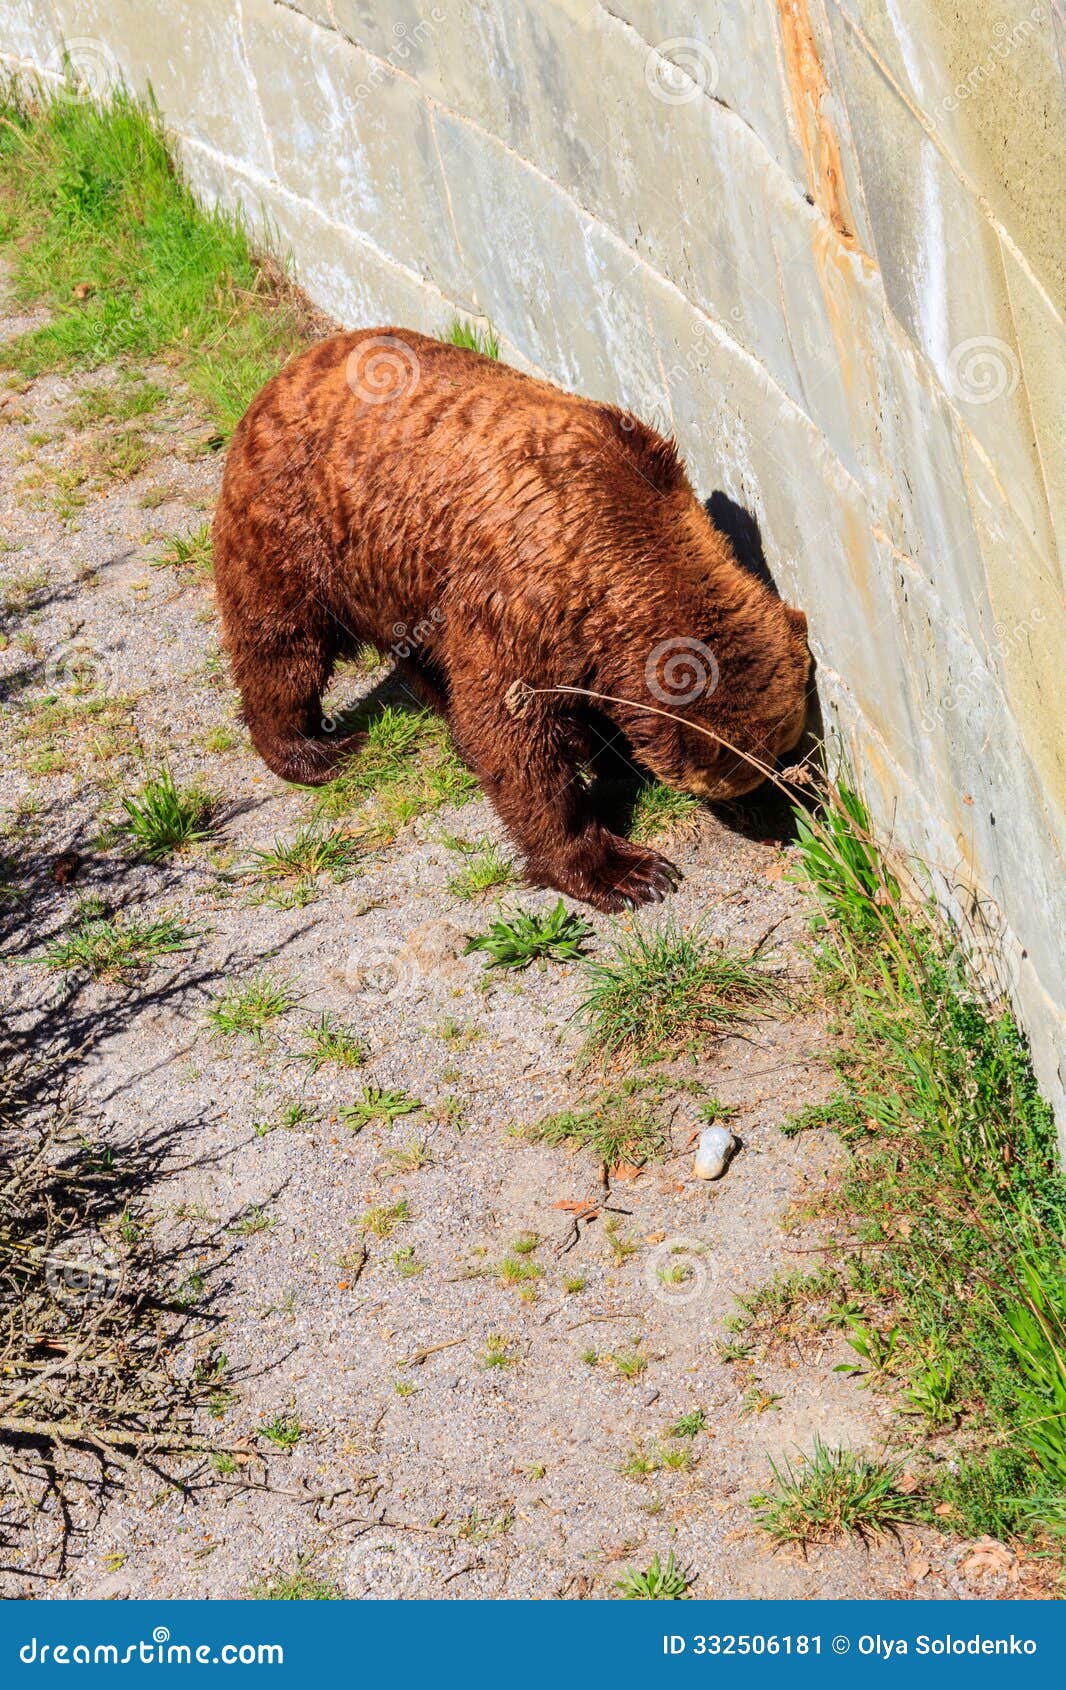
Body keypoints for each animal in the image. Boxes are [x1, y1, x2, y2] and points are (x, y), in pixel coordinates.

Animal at [212, 328, 811, 912]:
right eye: (750, 770)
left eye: (780, 750)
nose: (788, 811)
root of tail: (283, 375)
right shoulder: (522, 599)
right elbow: (510, 731)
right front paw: (626, 870)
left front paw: (598, 748)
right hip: (298, 523)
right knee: (283, 644)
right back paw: (316, 750)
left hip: (403, 577)